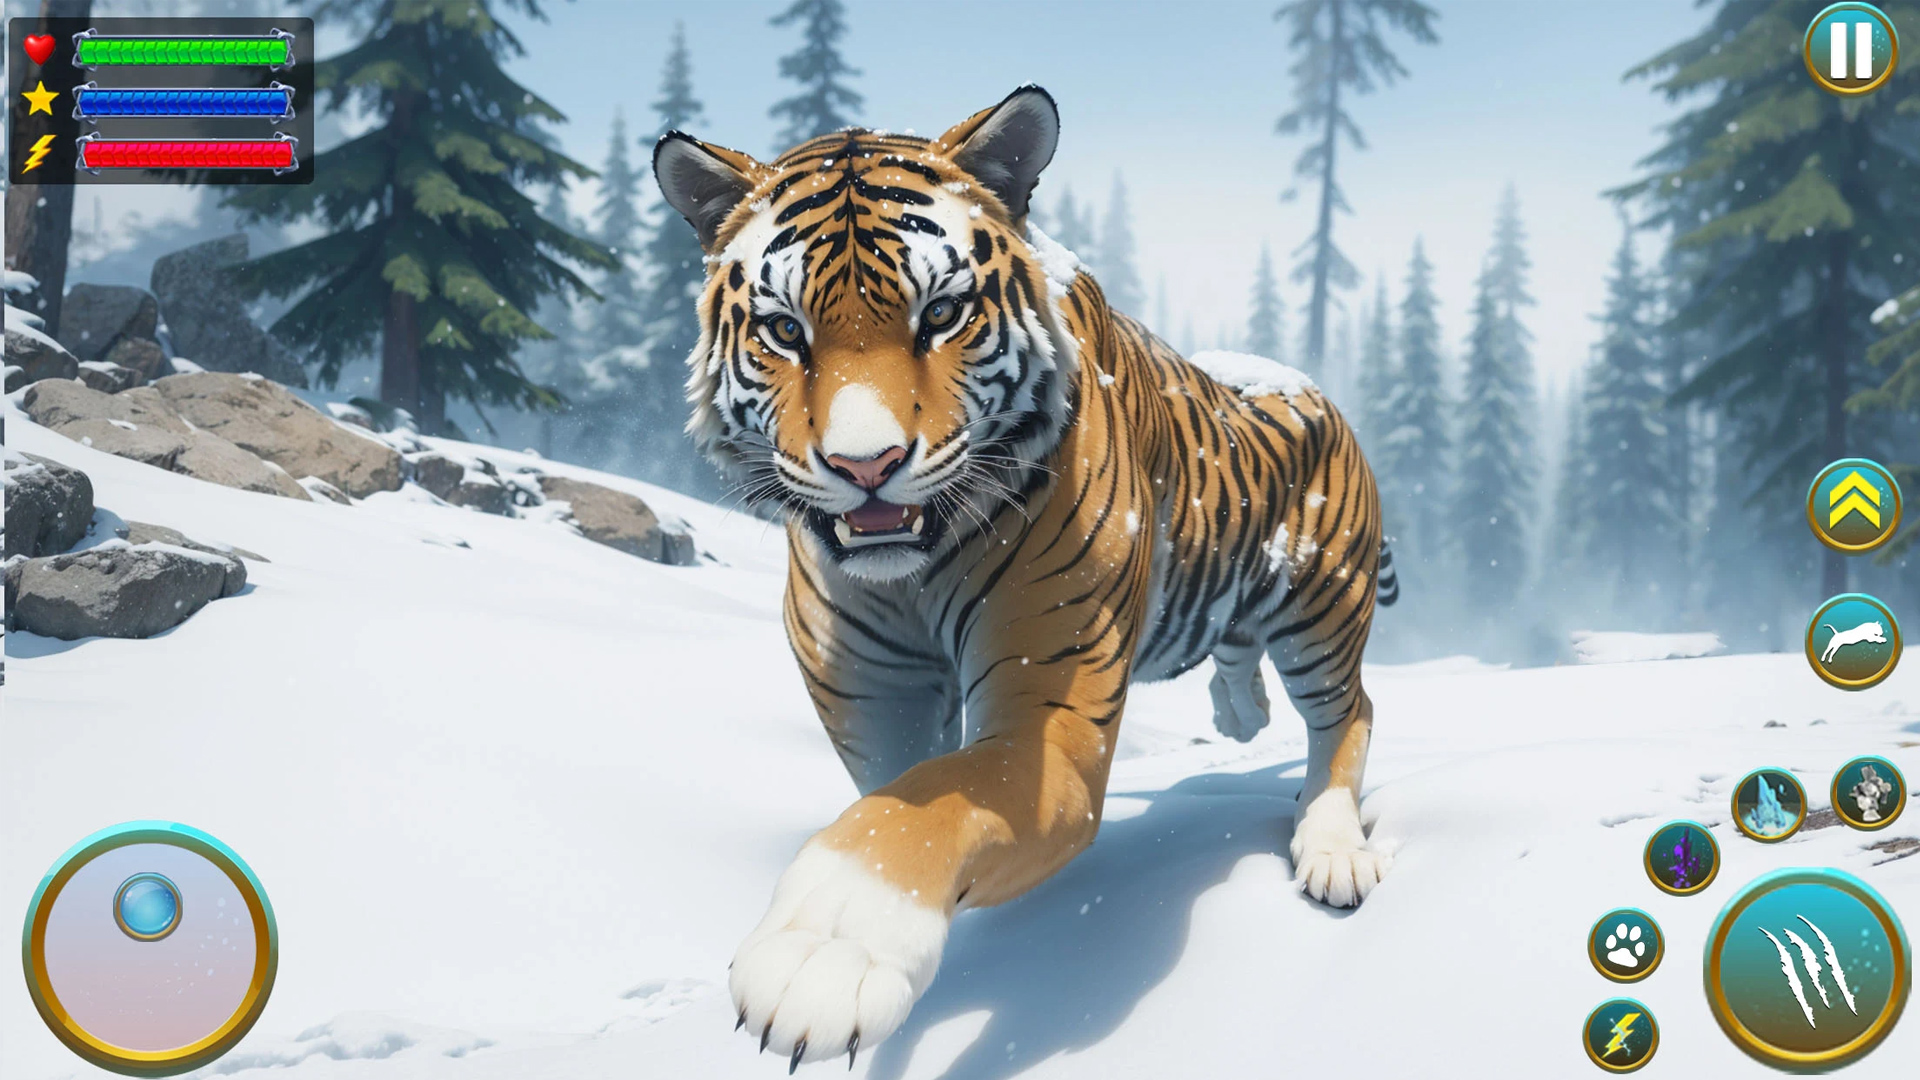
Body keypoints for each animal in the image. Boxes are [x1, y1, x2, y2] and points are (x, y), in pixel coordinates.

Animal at [652, 85, 1398, 1071]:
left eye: (940, 315)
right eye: (785, 331)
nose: (865, 465)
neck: (911, 573)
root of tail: (1311, 387)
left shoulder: (1051, 721)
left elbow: (922, 806)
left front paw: (822, 956)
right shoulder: (872, 697)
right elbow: (900, 791)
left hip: (1323, 608)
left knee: (1349, 711)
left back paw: (1331, 848)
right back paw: (1240, 716)